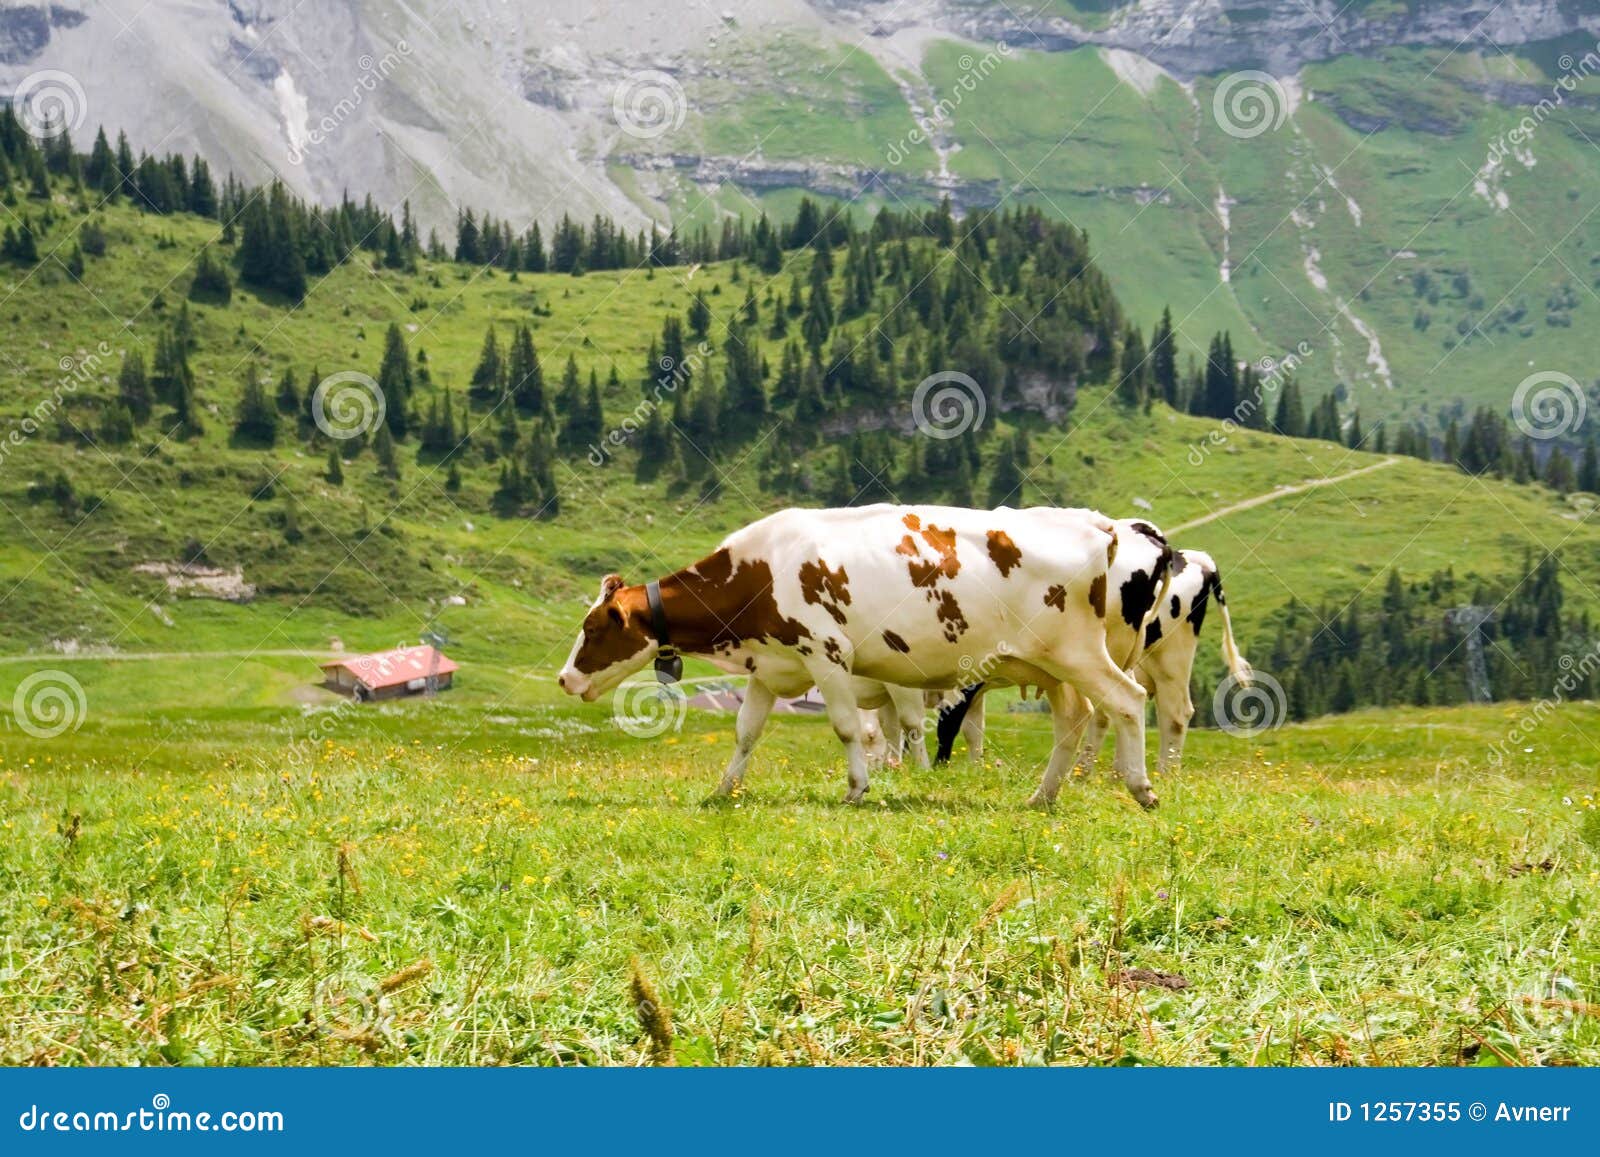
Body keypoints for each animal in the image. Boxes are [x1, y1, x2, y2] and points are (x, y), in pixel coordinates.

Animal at [557, 504, 1160, 808]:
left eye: (592, 627)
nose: (564, 679)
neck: (762, 567)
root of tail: (1096, 524)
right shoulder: (772, 665)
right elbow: (747, 732)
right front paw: (725, 788)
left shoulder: (825, 652)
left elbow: (848, 727)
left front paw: (856, 788)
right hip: (1051, 665)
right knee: (1074, 720)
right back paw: (1043, 796)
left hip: (1079, 652)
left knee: (1129, 700)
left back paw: (1140, 788)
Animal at [933, 547, 1249, 777]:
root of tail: (1195, 558)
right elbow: (973, 728)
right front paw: (973, 768)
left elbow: (949, 723)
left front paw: (939, 767)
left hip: (1169, 660)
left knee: (1172, 712)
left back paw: (1161, 774)